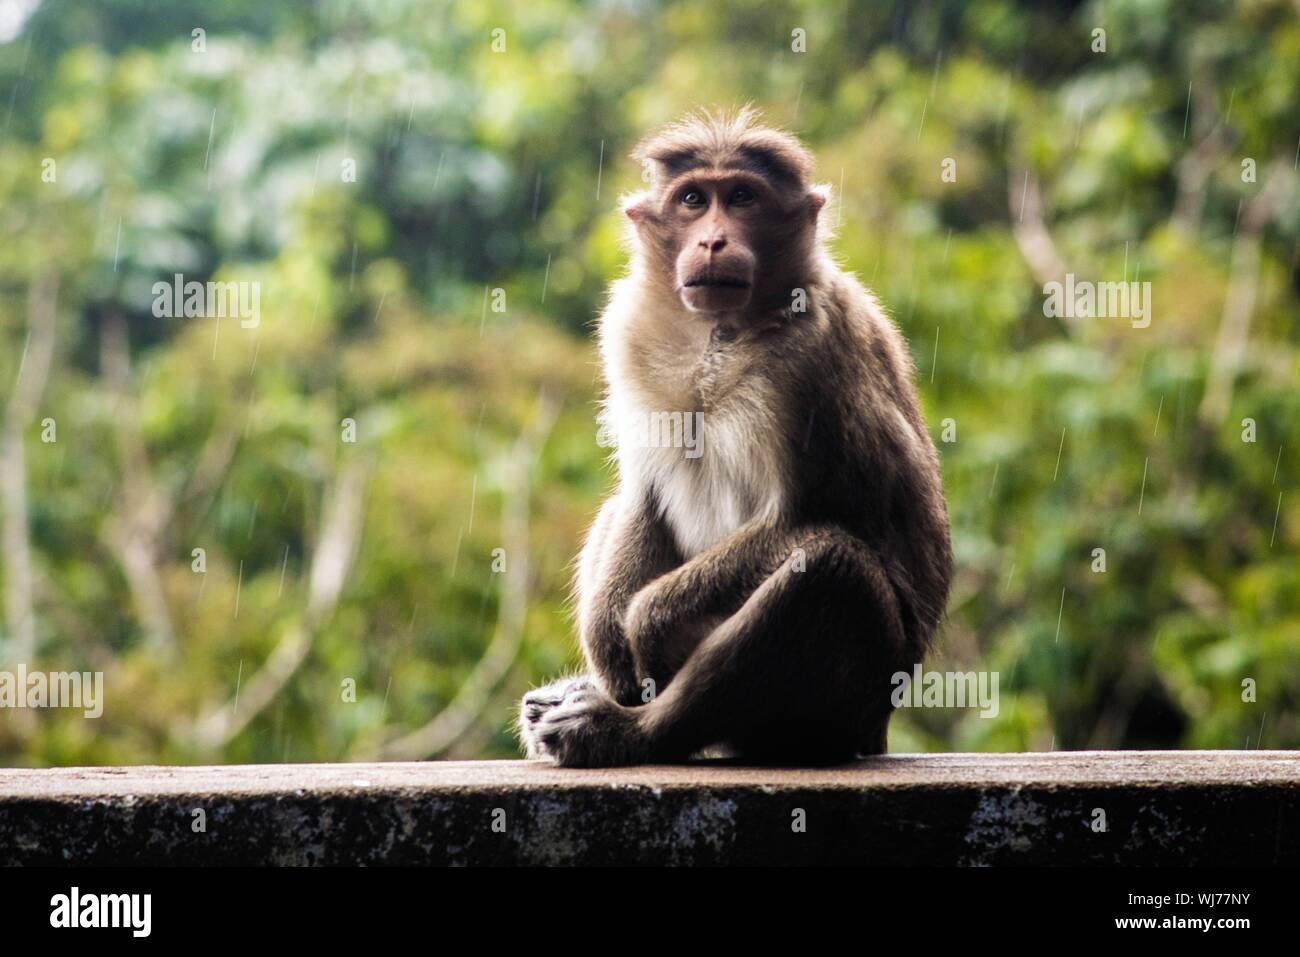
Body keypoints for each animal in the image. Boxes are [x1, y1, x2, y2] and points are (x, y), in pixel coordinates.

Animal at [518, 108, 952, 767]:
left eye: (743, 198)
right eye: (694, 200)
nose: (713, 240)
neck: (717, 335)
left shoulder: (811, 357)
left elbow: (810, 517)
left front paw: (644, 621)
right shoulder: (627, 328)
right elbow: (643, 495)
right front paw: (610, 645)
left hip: (857, 694)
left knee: (830, 570)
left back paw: (634, 732)